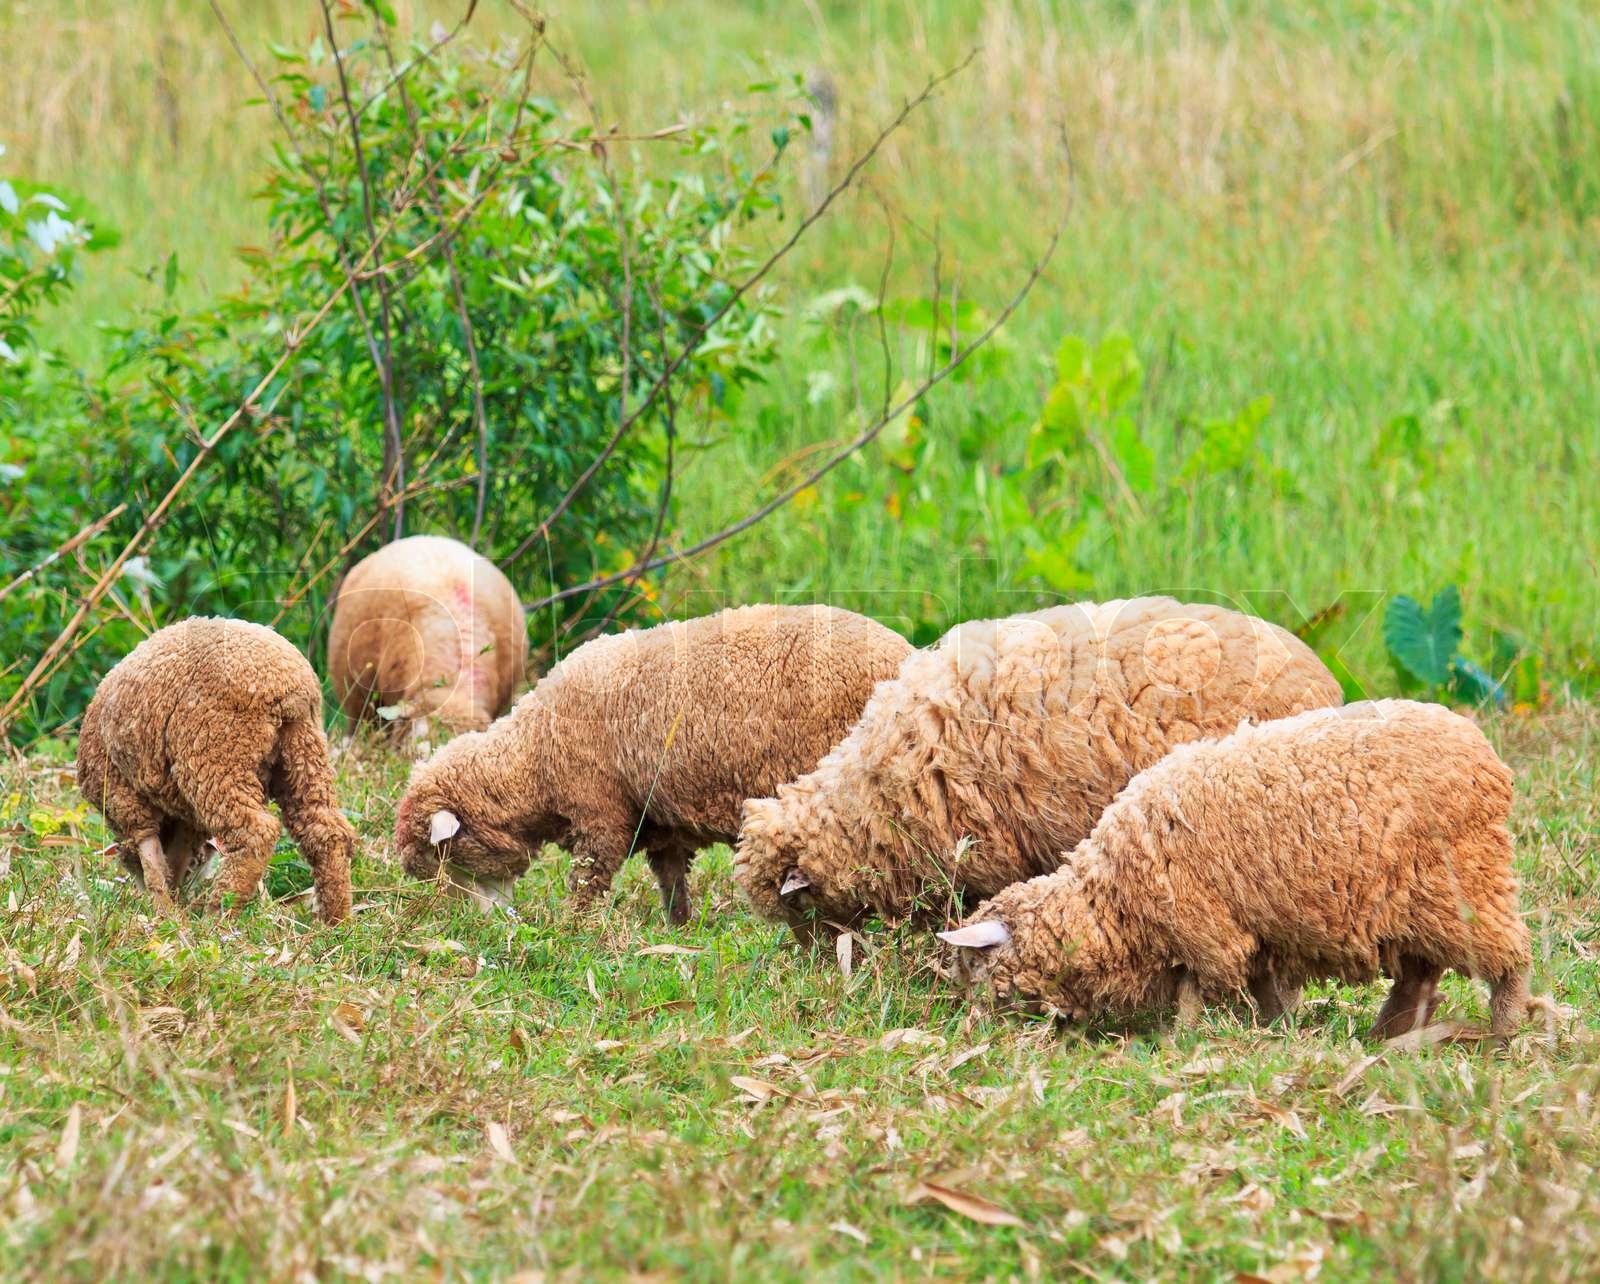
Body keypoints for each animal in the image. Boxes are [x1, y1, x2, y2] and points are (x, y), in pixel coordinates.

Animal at [76, 617, 354, 923]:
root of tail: (286, 683)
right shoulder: (186, 816)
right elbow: (174, 856)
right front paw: (175, 905)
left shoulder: (122, 796)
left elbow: (151, 855)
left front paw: (165, 913)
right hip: (304, 752)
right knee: (327, 831)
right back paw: (334, 920)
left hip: (217, 757)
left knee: (255, 833)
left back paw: (217, 917)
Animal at [393, 604, 914, 924]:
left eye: (446, 861)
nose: (481, 926)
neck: (535, 755)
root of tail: (907, 656)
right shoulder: (661, 826)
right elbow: (672, 884)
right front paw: (678, 932)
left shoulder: (599, 814)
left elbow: (587, 882)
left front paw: (570, 930)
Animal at [938, 699, 1532, 1038]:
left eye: (973, 966)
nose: (969, 1031)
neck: (1108, 901)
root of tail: (1481, 750)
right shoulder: (1251, 932)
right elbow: (1264, 990)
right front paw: (1278, 1032)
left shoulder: (1206, 930)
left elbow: (1195, 993)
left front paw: (1182, 1042)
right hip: (1411, 902)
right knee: (1419, 973)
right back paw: (1390, 1034)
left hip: (1466, 881)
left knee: (1510, 958)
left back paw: (1502, 1033)